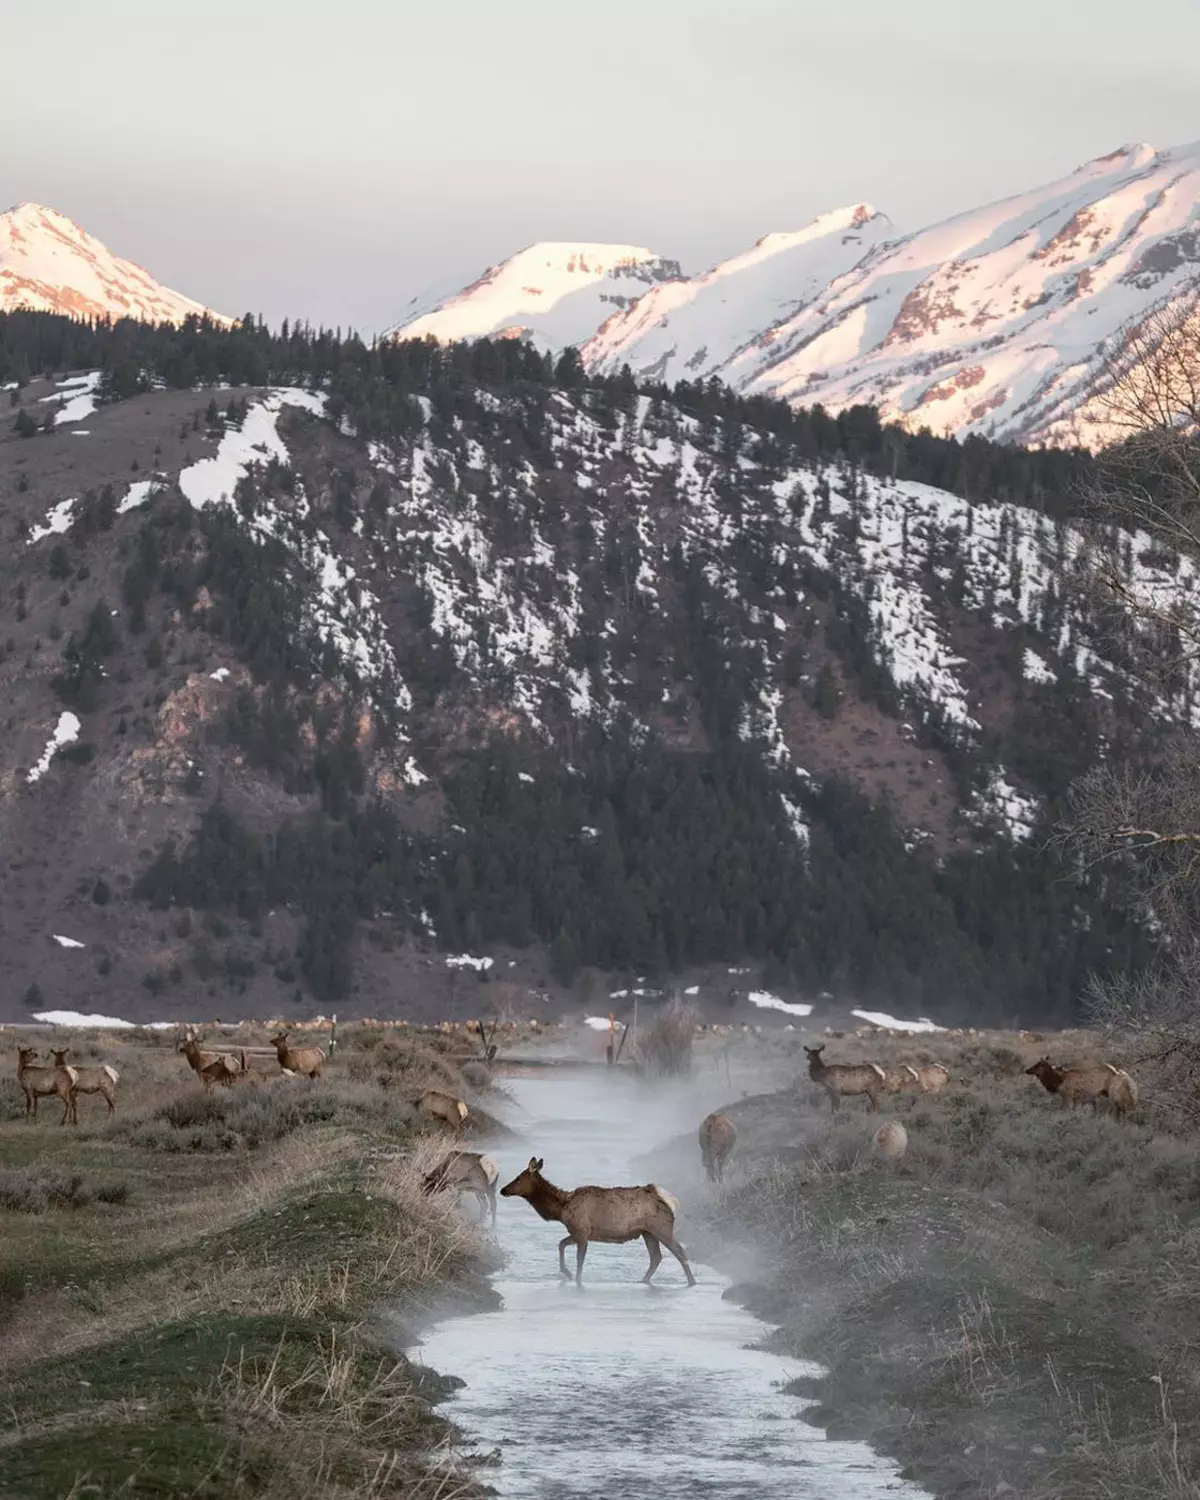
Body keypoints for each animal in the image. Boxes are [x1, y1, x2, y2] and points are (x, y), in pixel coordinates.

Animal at [501, 1158, 699, 1290]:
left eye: (518, 1178)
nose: (503, 1190)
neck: (561, 1209)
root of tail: (671, 1200)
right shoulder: (578, 1232)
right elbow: (561, 1244)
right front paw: (567, 1273)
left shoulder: (581, 1231)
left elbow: (579, 1258)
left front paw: (575, 1278)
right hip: (647, 1232)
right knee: (656, 1257)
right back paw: (643, 1281)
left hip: (662, 1227)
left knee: (679, 1252)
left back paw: (692, 1282)